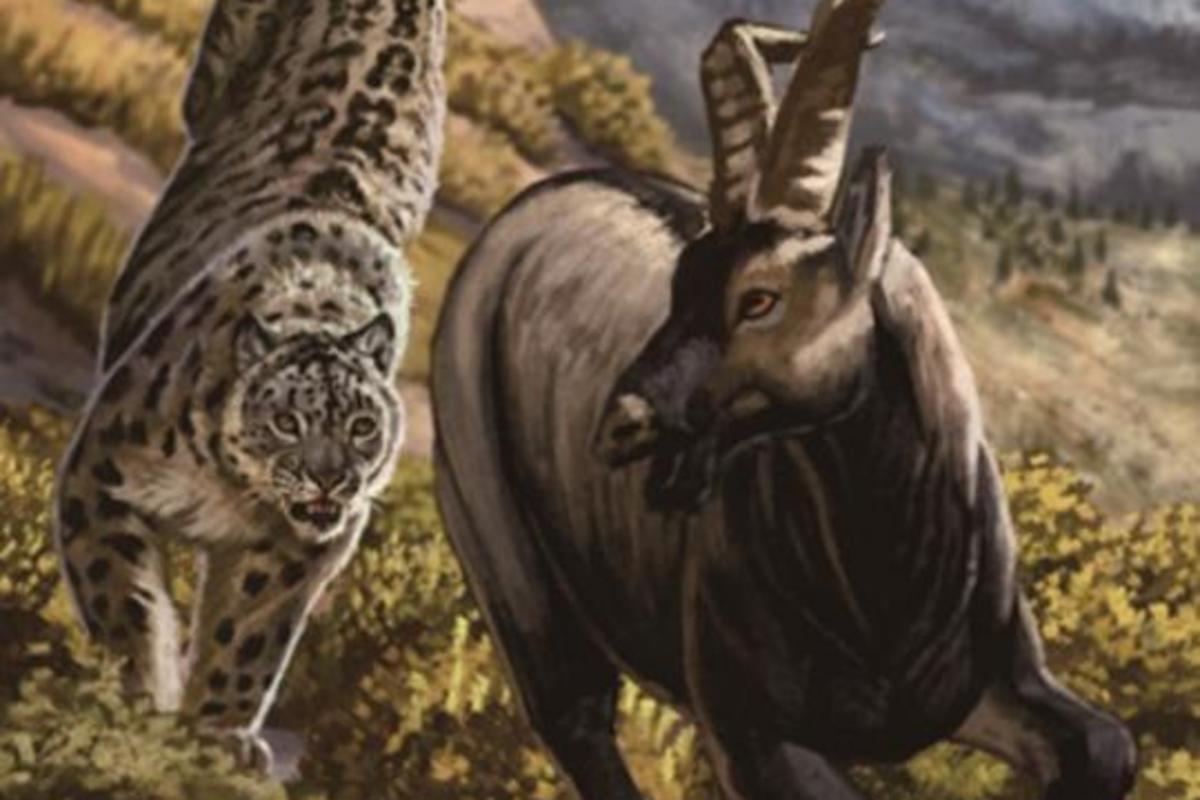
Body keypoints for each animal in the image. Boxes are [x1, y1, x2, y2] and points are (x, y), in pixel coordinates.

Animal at [52, 0, 446, 764]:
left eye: (363, 425)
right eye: (286, 421)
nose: (330, 480)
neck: (235, 491)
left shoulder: (303, 548)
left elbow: (251, 637)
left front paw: (219, 732)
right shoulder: (102, 469)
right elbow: (122, 593)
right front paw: (144, 692)